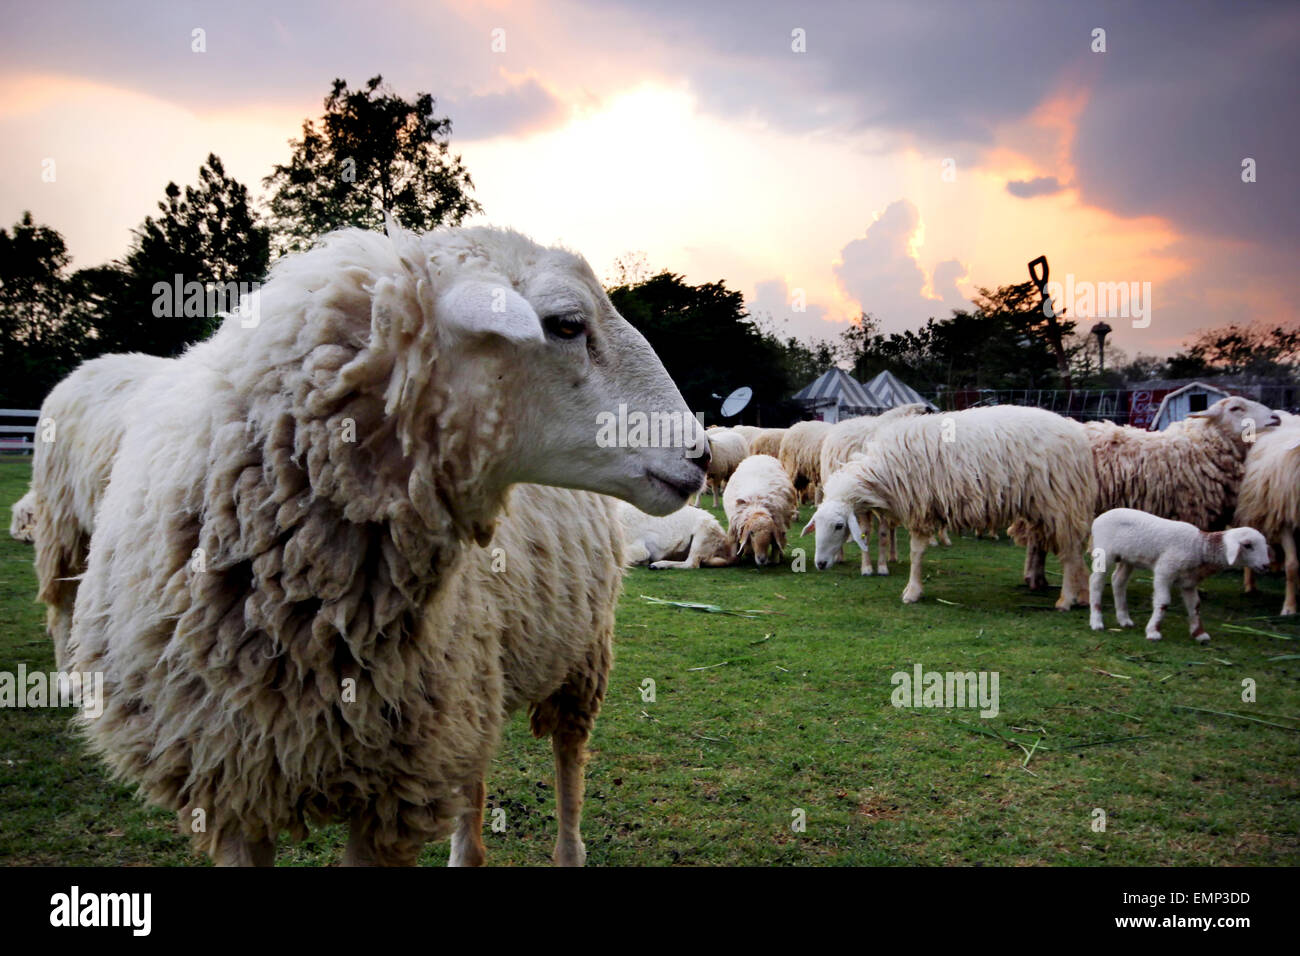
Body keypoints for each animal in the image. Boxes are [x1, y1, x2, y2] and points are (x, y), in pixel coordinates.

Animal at [65, 224, 706, 867]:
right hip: (474, 688)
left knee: (569, 759)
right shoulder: (230, 784)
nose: (700, 454)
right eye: (568, 324)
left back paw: (567, 849)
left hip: (578, 659)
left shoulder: (391, 797)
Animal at [807, 406, 1096, 607]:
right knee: (1069, 549)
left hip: (1060, 502)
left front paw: (912, 592)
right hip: (1046, 507)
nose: (819, 564)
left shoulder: (920, 507)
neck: (881, 472)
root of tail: (1079, 437)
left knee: (1070, 551)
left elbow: (916, 552)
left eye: (839, 526)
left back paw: (1066, 599)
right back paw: (1079, 595)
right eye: (816, 525)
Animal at [1022, 396, 1281, 590]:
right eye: (1236, 408)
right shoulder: (1191, 510)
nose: (1276, 417)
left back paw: (1036, 578)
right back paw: (1035, 579)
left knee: (1037, 537)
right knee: (1037, 538)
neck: (1201, 447)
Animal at [1088, 507, 1269, 643]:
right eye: (1247, 545)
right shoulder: (1164, 571)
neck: (1199, 547)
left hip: (1127, 558)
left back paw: (1124, 619)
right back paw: (1096, 621)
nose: (1266, 565)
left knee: (1118, 581)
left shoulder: (1189, 582)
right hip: (1105, 552)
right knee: (1096, 582)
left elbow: (1195, 605)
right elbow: (1163, 602)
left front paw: (1199, 634)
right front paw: (1153, 631)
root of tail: (1098, 519)